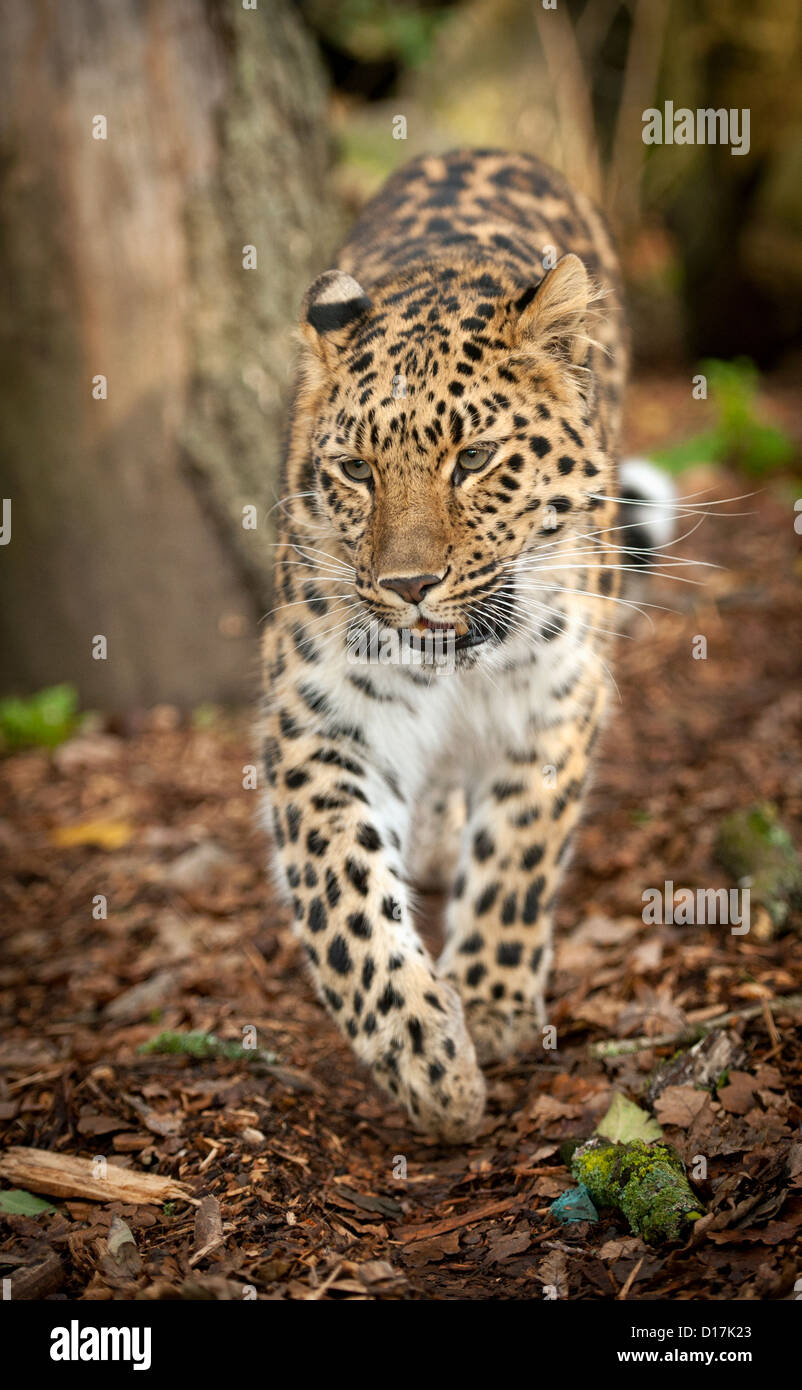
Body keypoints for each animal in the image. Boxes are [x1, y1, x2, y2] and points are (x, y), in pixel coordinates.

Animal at [261, 149, 666, 1143]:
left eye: (475, 459)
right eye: (355, 471)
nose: (409, 586)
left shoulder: (558, 698)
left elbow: (522, 846)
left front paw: (488, 1002)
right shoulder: (322, 722)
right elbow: (341, 892)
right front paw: (424, 1058)